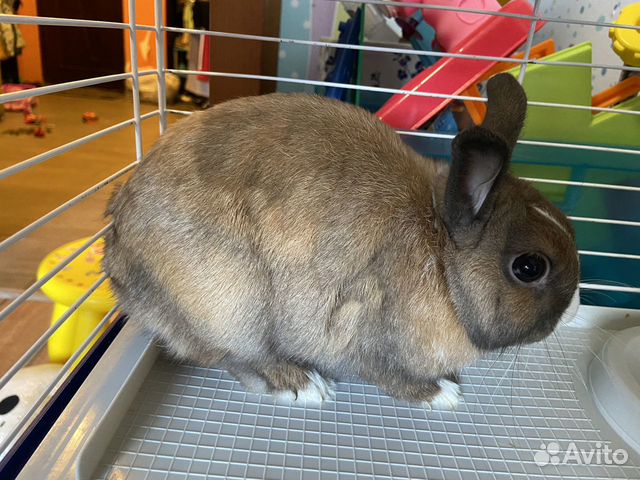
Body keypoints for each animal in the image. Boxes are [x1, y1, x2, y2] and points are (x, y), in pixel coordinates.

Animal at [103, 73, 580, 410]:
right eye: (529, 267)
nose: (575, 309)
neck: (443, 261)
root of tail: (118, 263)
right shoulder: (371, 342)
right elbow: (394, 379)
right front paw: (443, 394)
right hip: (230, 306)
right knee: (235, 358)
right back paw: (303, 385)